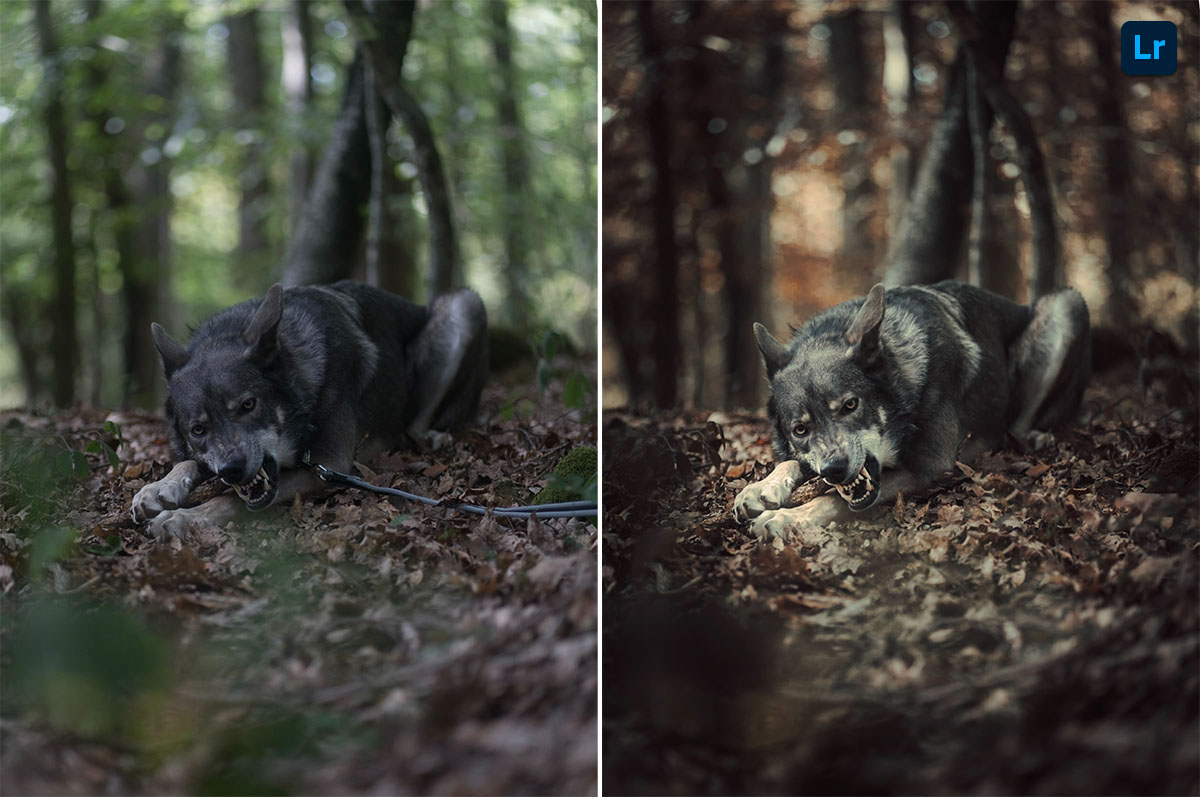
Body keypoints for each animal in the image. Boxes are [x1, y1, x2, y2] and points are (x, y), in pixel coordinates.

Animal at [131, 281, 487, 540]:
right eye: (198, 430)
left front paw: (184, 517)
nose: (231, 470)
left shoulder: (331, 465)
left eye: (248, 405)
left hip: (464, 305)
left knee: (414, 425)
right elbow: (189, 462)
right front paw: (158, 488)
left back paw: (429, 440)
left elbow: (231, 498)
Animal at [733, 281, 1091, 542]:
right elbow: (792, 462)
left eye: (851, 405)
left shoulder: (933, 468)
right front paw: (760, 489)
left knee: (1017, 426)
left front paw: (787, 517)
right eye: (800, 430)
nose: (834, 470)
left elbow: (835, 499)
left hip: (1066, 303)